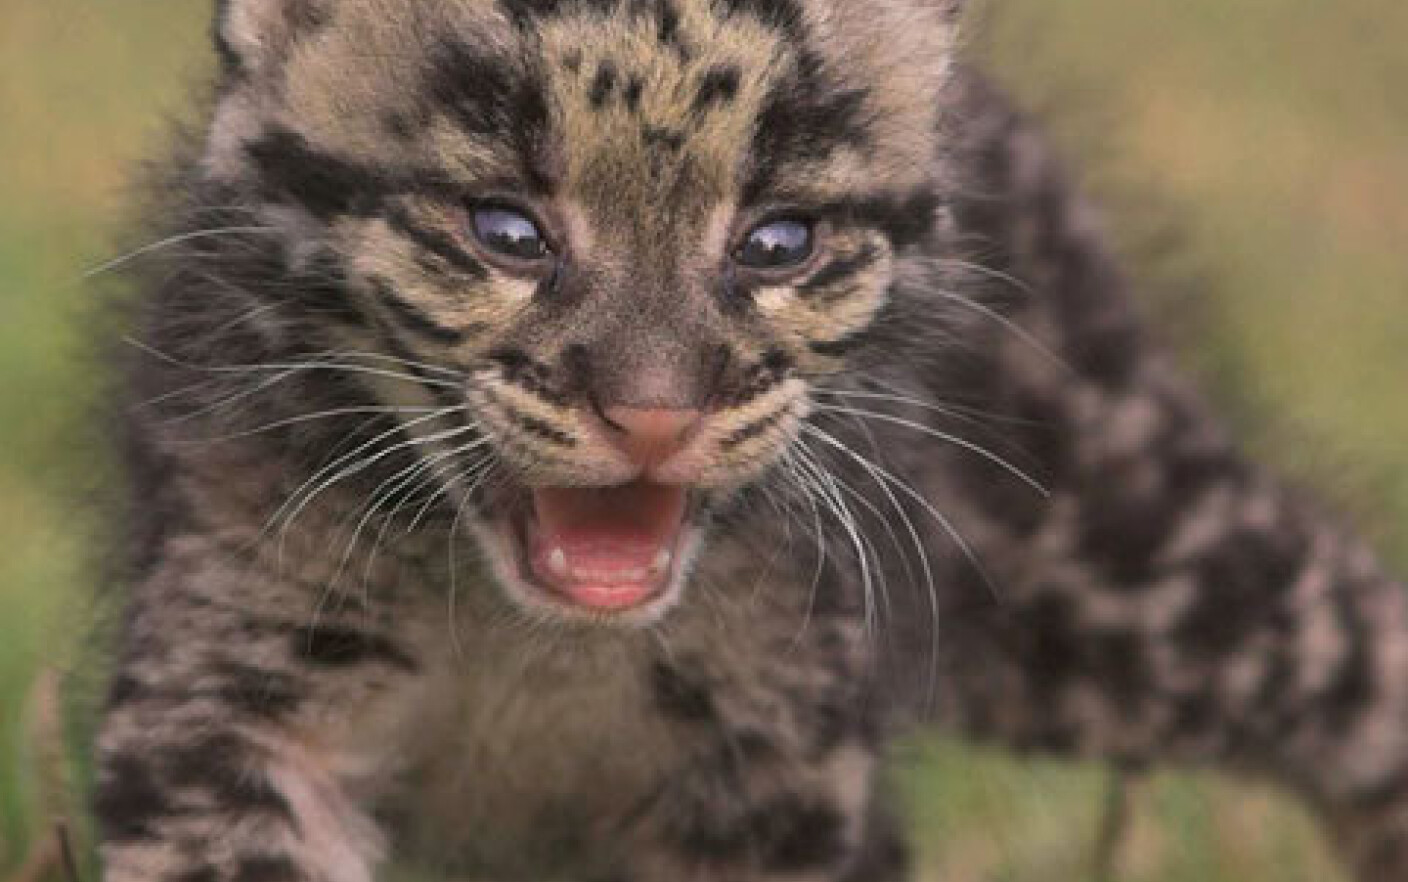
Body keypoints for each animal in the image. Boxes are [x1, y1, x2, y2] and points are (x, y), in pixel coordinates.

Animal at [96, 1, 1408, 880]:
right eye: (505, 230)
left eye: (777, 244)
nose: (655, 412)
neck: (539, 646)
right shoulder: (228, 683)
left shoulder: (782, 760)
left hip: (1115, 551)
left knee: (1343, 630)